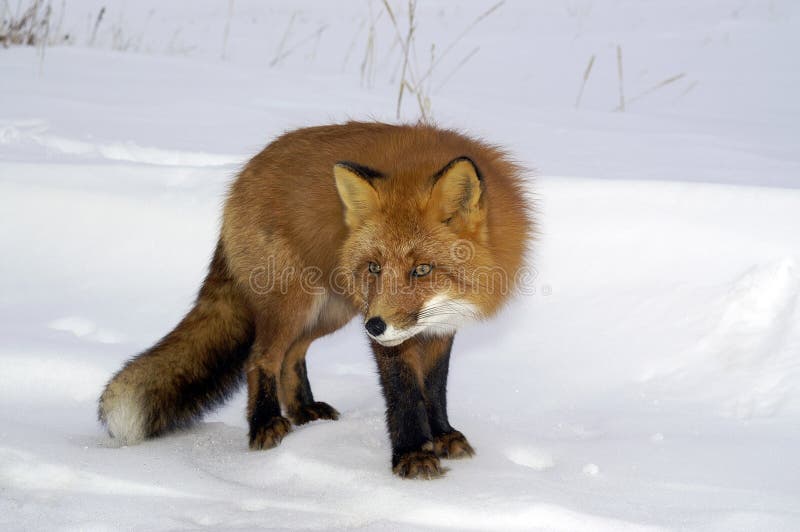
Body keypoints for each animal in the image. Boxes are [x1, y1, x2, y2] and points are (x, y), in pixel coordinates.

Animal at [98, 121, 531, 478]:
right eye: (374, 267)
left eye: (422, 270)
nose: (375, 326)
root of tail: (243, 174)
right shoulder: (389, 333)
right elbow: (405, 393)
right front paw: (412, 456)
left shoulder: (441, 327)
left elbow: (435, 390)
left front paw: (442, 437)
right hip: (295, 303)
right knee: (261, 357)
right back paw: (264, 425)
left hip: (332, 312)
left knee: (292, 354)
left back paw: (303, 411)